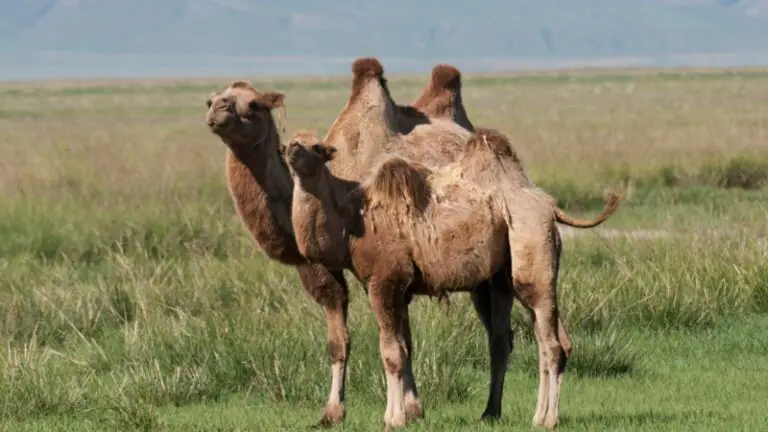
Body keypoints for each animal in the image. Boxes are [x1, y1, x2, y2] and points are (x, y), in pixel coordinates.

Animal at [284, 129, 621, 429]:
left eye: (317, 147)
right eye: (290, 141)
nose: (292, 151)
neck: (355, 222)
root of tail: (551, 206)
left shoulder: (385, 281)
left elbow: (391, 353)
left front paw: (394, 419)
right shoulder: (395, 288)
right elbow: (403, 347)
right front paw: (403, 414)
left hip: (530, 240)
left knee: (550, 341)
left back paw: (548, 420)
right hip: (511, 269)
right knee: (547, 338)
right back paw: (532, 415)